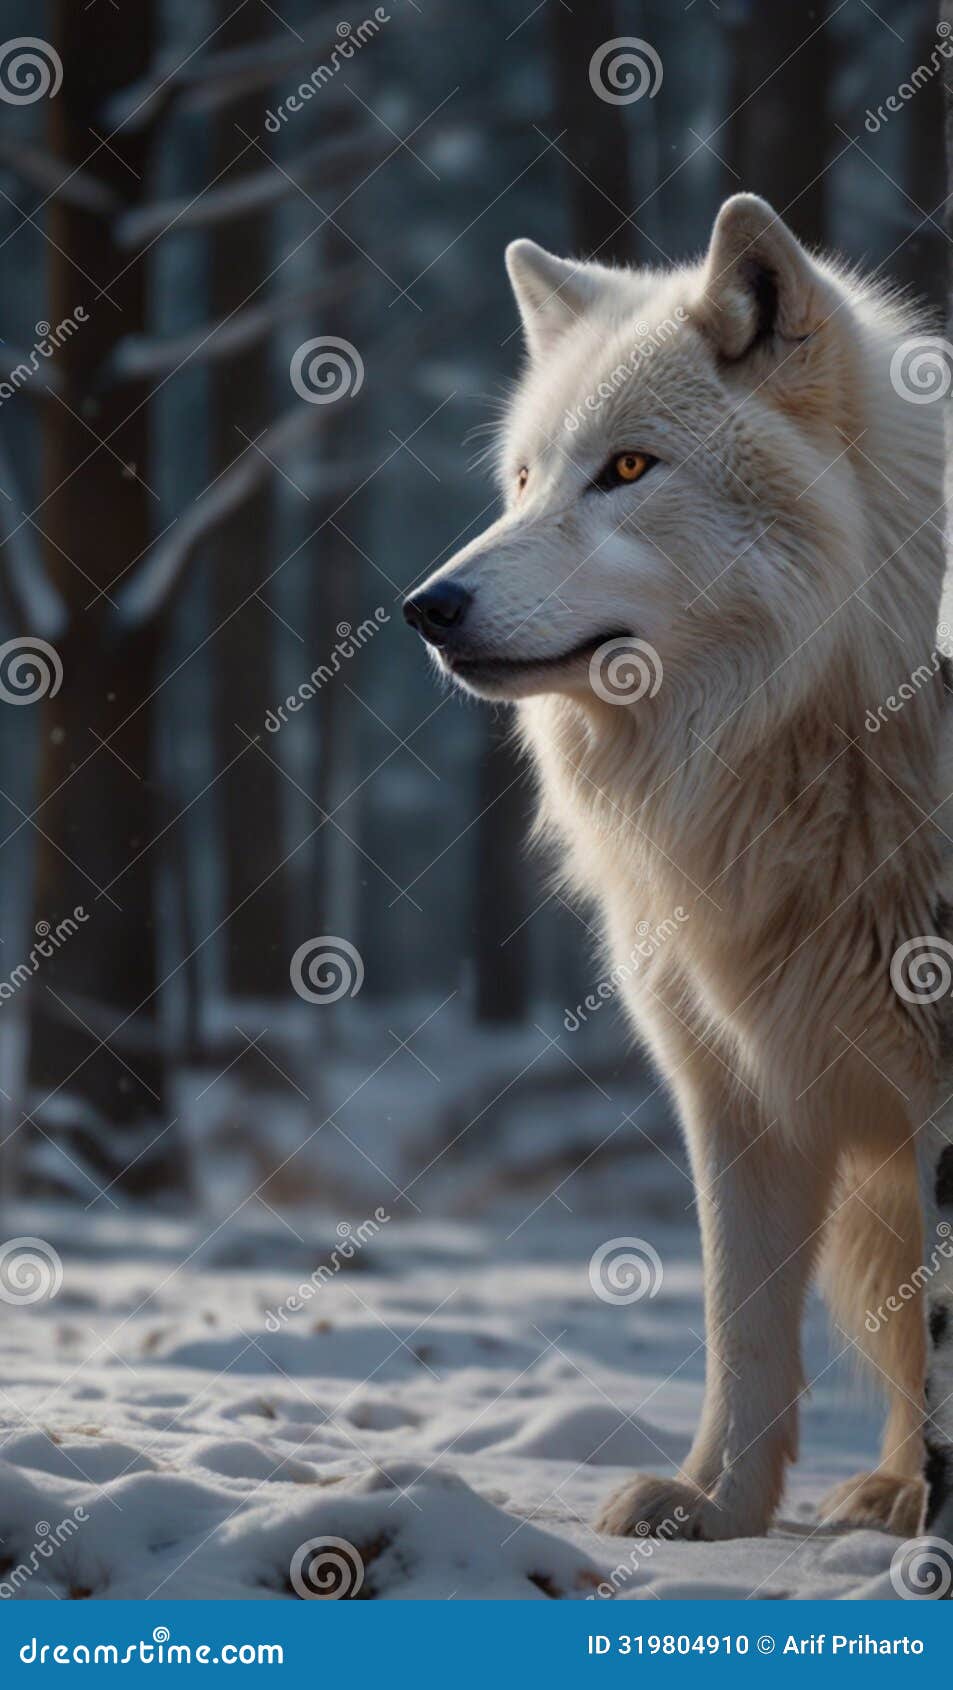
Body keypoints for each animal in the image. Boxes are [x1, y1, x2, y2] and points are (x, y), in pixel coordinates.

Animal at [404, 194, 953, 1544]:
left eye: (627, 469)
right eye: (523, 477)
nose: (428, 605)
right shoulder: (731, 1087)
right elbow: (737, 1329)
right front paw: (712, 1508)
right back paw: (886, 1489)